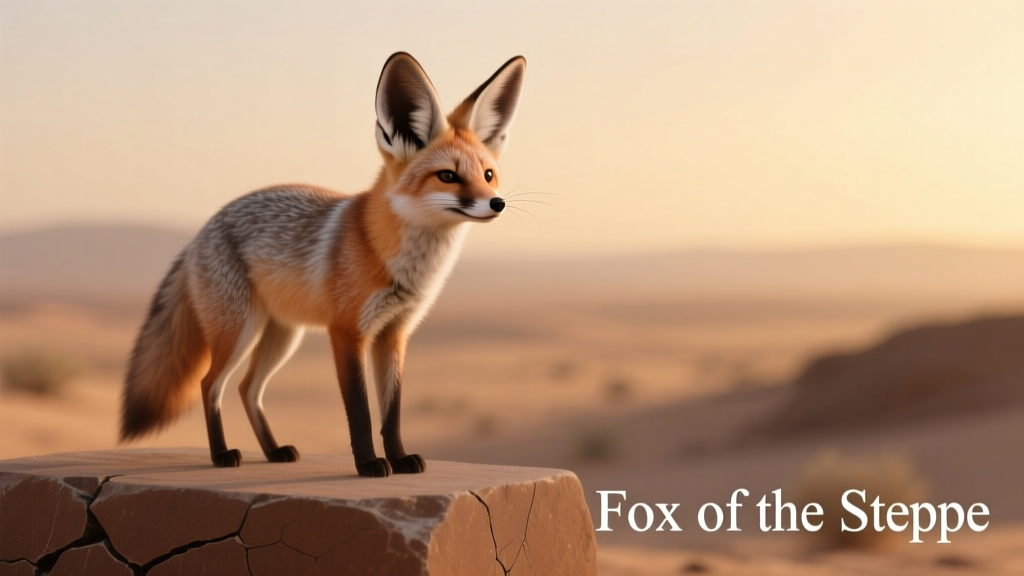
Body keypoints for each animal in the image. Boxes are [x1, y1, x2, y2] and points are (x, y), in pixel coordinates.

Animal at [119, 52, 526, 477]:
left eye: (489, 175)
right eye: (448, 176)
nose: (497, 203)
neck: (400, 262)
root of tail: (201, 230)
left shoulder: (394, 334)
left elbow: (392, 412)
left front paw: (399, 459)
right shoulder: (347, 331)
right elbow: (360, 410)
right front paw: (369, 464)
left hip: (282, 336)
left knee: (247, 388)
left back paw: (273, 451)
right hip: (240, 331)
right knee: (208, 384)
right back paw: (221, 455)